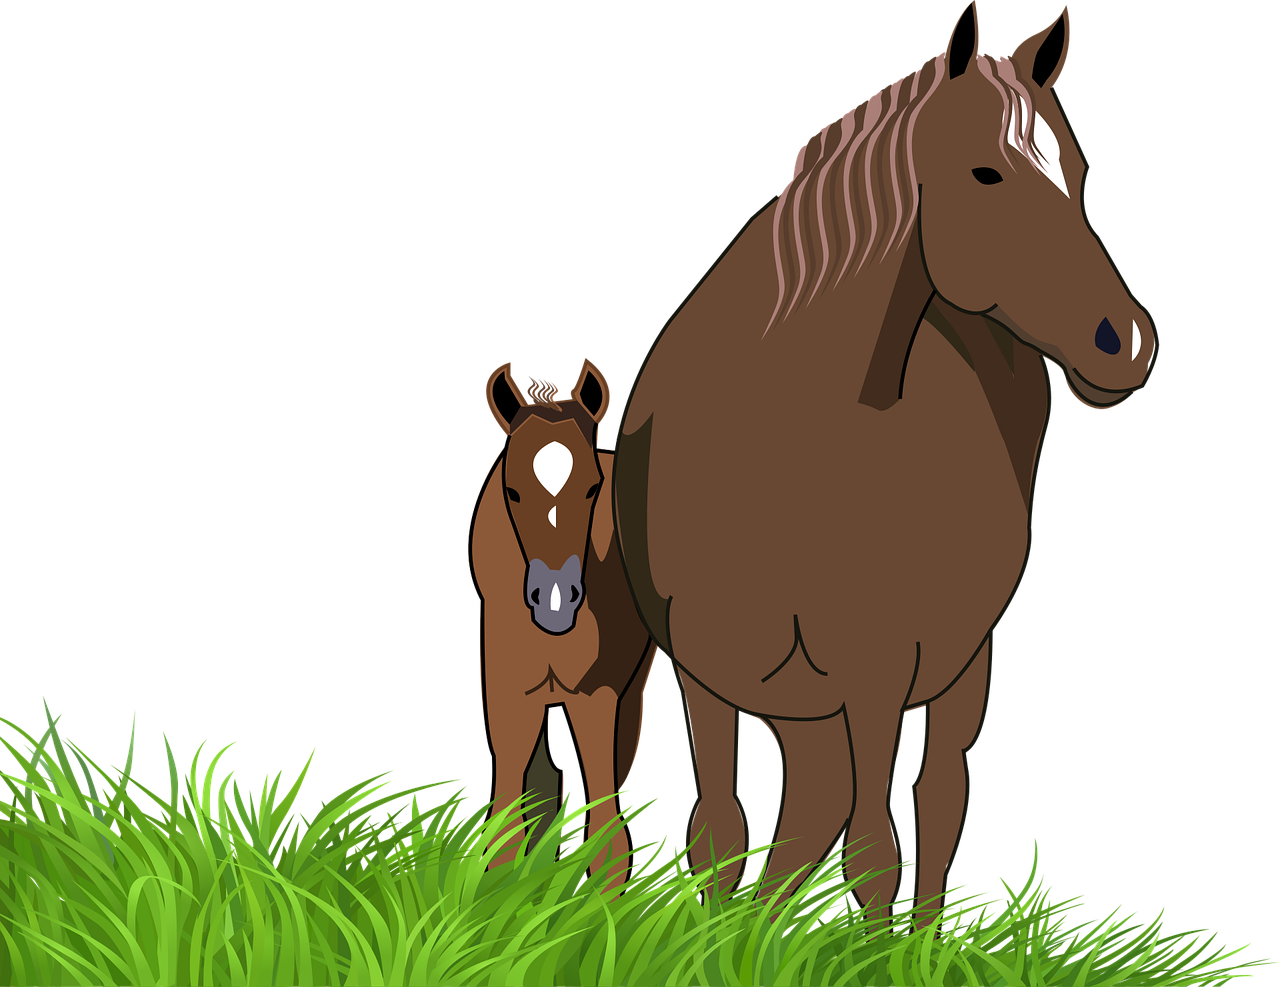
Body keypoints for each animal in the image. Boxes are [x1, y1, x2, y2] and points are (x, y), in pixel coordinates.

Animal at [468, 357, 656, 897]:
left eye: (592, 488)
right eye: (512, 490)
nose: (555, 600)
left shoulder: (597, 692)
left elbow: (606, 826)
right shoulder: (508, 691)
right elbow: (508, 819)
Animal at [611, 2, 1156, 935]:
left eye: (1077, 173)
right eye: (985, 173)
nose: (1121, 341)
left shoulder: (891, 666)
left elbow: (888, 838)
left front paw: (896, 948)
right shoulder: (702, 667)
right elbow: (724, 828)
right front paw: (729, 939)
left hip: (926, 673)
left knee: (903, 803)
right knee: (814, 807)